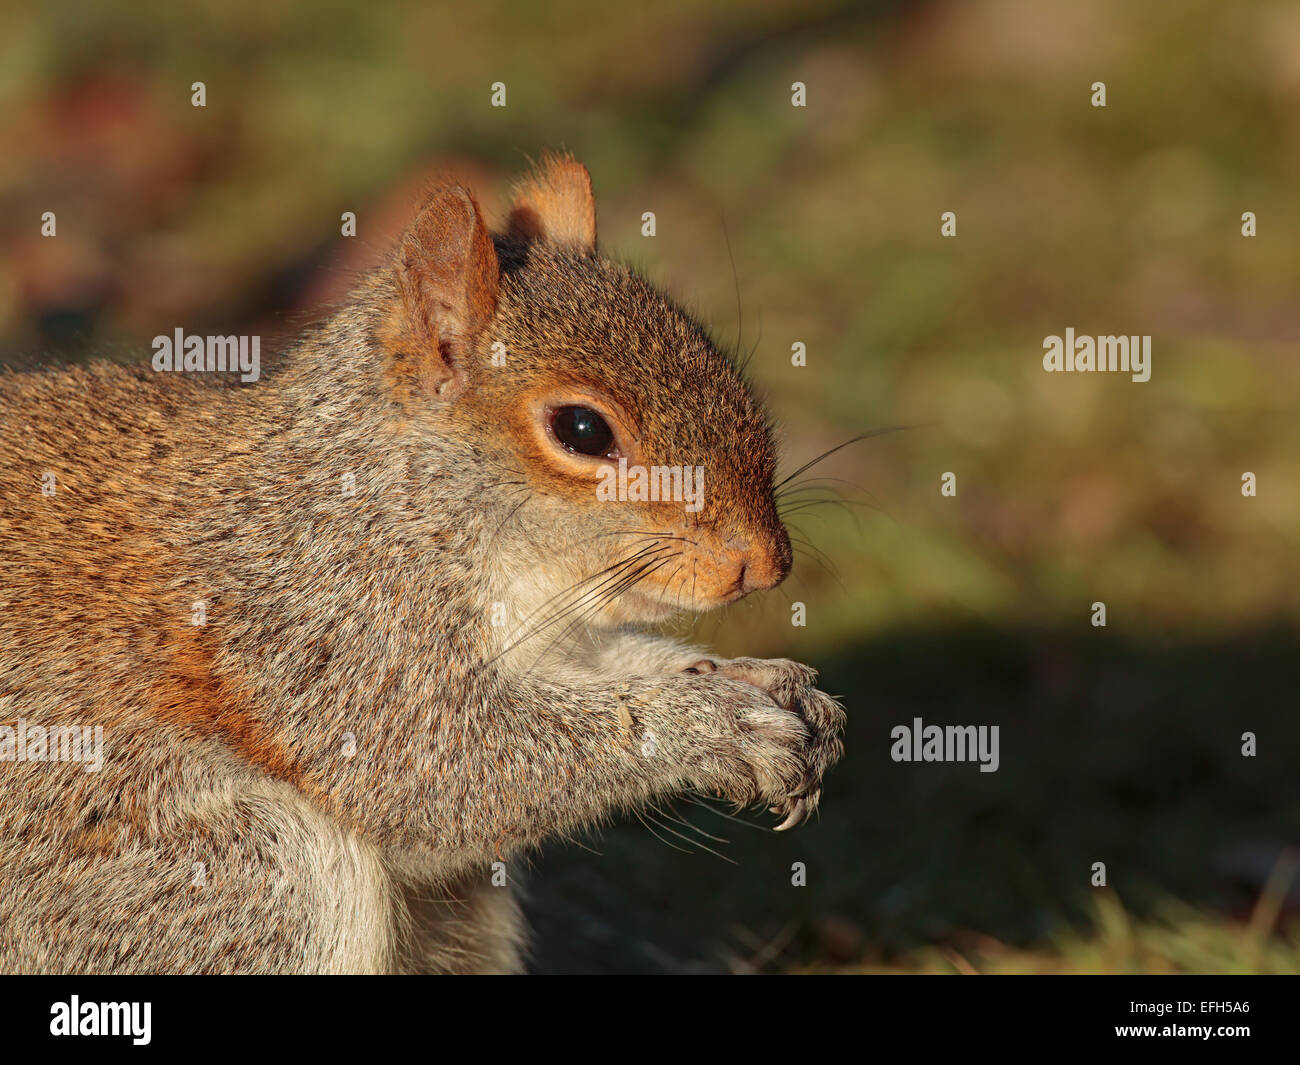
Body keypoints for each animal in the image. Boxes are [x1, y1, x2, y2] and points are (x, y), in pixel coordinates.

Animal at [0, 152, 845, 974]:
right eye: (582, 429)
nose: (765, 562)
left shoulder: (548, 627)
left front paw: (761, 683)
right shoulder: (328, 624)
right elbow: (433, 768)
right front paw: (709, 725)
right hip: (227, 880)